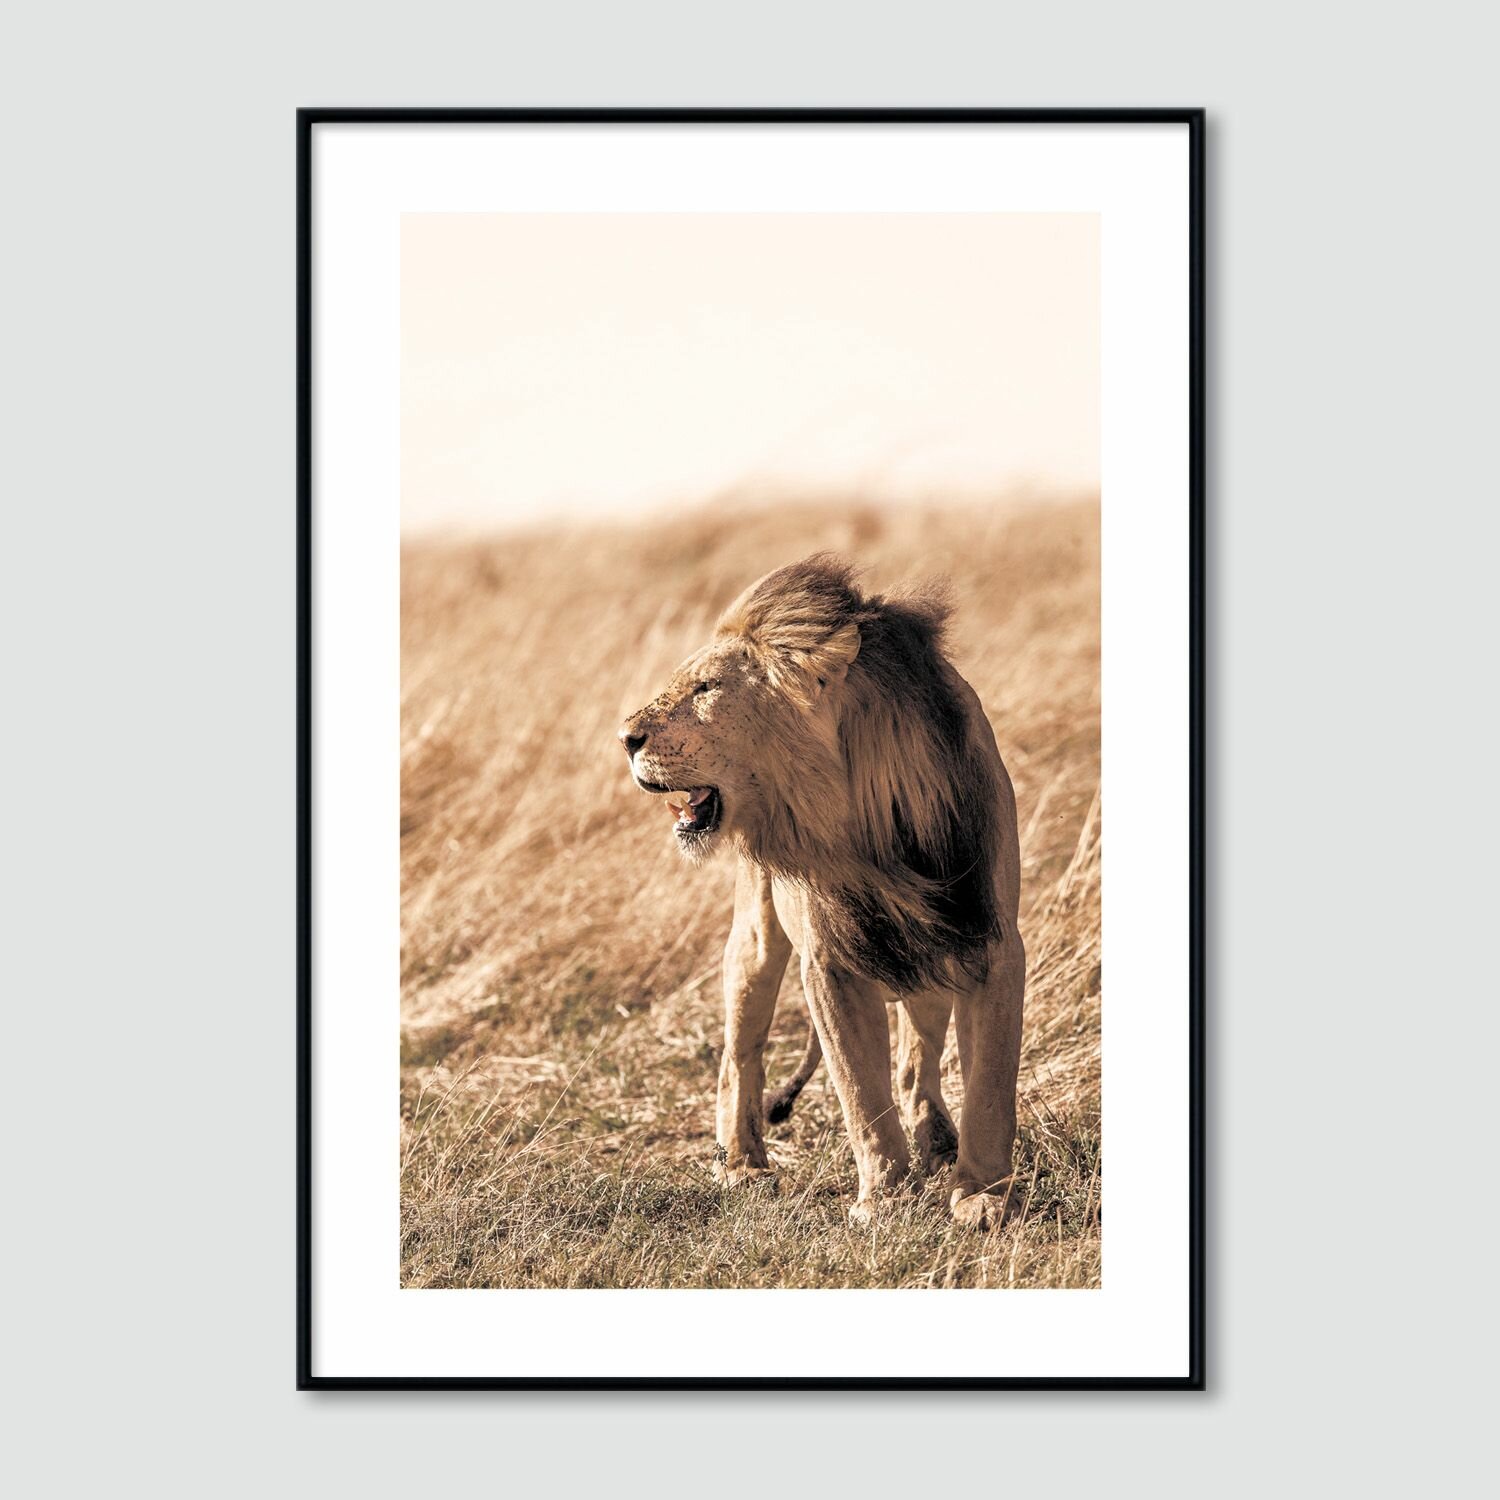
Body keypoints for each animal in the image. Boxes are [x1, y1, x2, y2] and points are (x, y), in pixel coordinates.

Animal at [617, 555, 1025, 1228]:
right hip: (755, 939)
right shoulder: (829, 962)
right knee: (739, 1056)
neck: (867, 823)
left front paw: (982, 1197)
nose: (624, 739)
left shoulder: (987, 939)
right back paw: (743, 1166)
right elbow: (860, 1091)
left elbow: (990, 1082)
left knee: (915, 1060)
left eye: (706, 689)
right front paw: (884, 1201)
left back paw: (938, 1141)